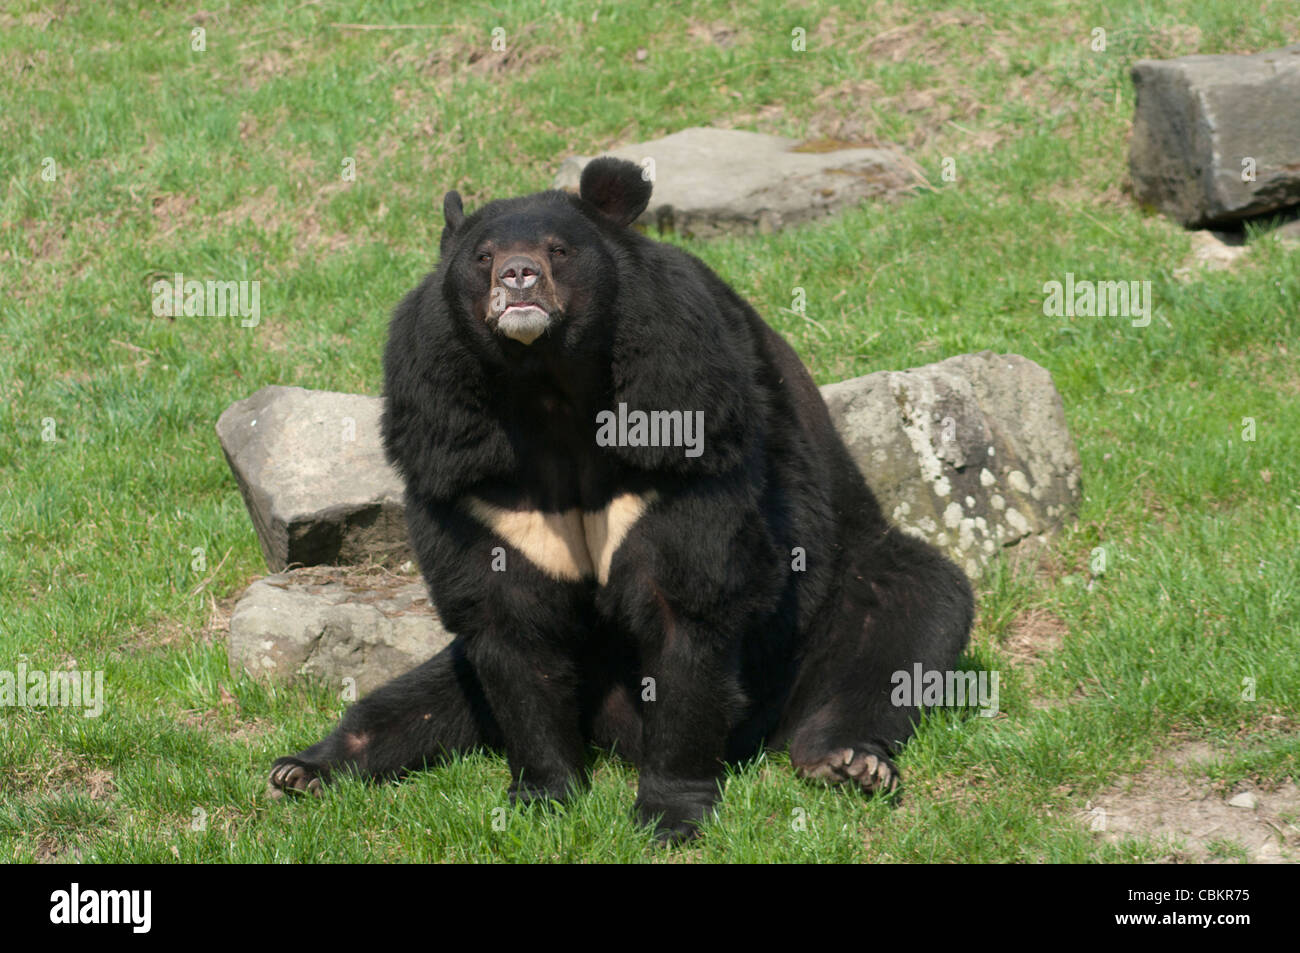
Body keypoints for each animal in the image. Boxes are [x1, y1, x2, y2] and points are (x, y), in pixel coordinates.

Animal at [269, 157, 974, 843]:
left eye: (557, 250)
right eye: (482, 256)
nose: (518, 279)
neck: (549, 384)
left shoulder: (685, 428)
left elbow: (686, 601)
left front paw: (668, 816)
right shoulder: (460, 460)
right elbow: (506, 619)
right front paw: (544, 798)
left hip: (842, 586)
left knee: (906, 621)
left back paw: (848, 761)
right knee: (430, 692)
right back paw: (305, 768)